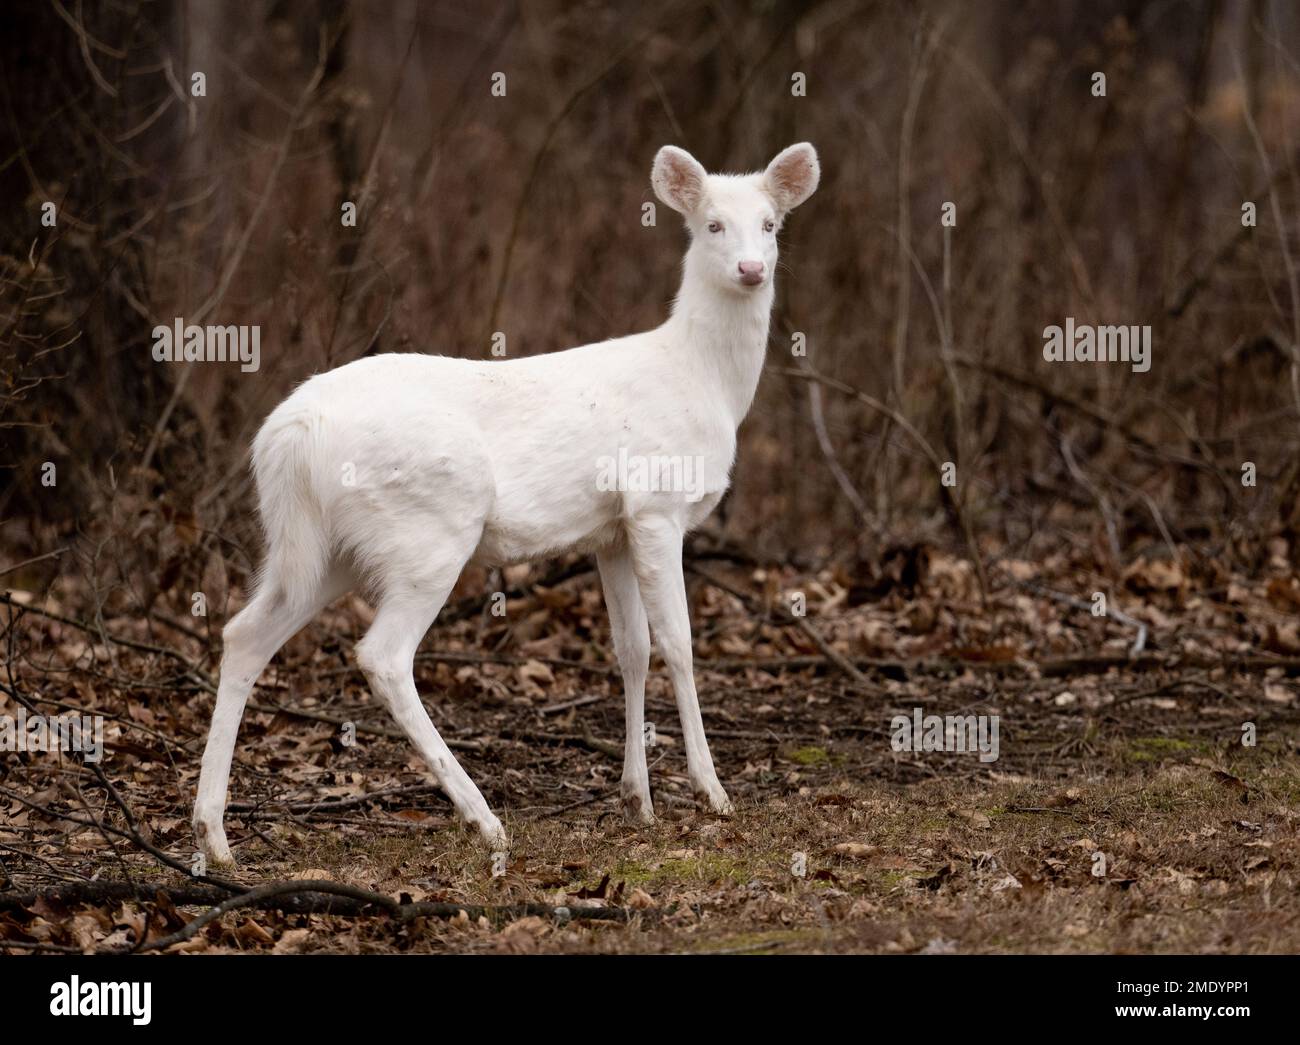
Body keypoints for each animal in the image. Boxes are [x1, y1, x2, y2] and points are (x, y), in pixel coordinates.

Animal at [192, 142, 820, 866]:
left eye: (770, 224)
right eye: (712, 224)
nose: (751, 269)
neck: (704, 381)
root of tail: (290, 434)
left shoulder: (612, 530)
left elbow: (630, 649)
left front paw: (637, 800)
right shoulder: (657, 504)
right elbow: (679, 644)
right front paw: (710, 791)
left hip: (323, 548)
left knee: (244, 634)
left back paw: (214, 836)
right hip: (431, 527)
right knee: (382, 655)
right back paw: (482, 816)